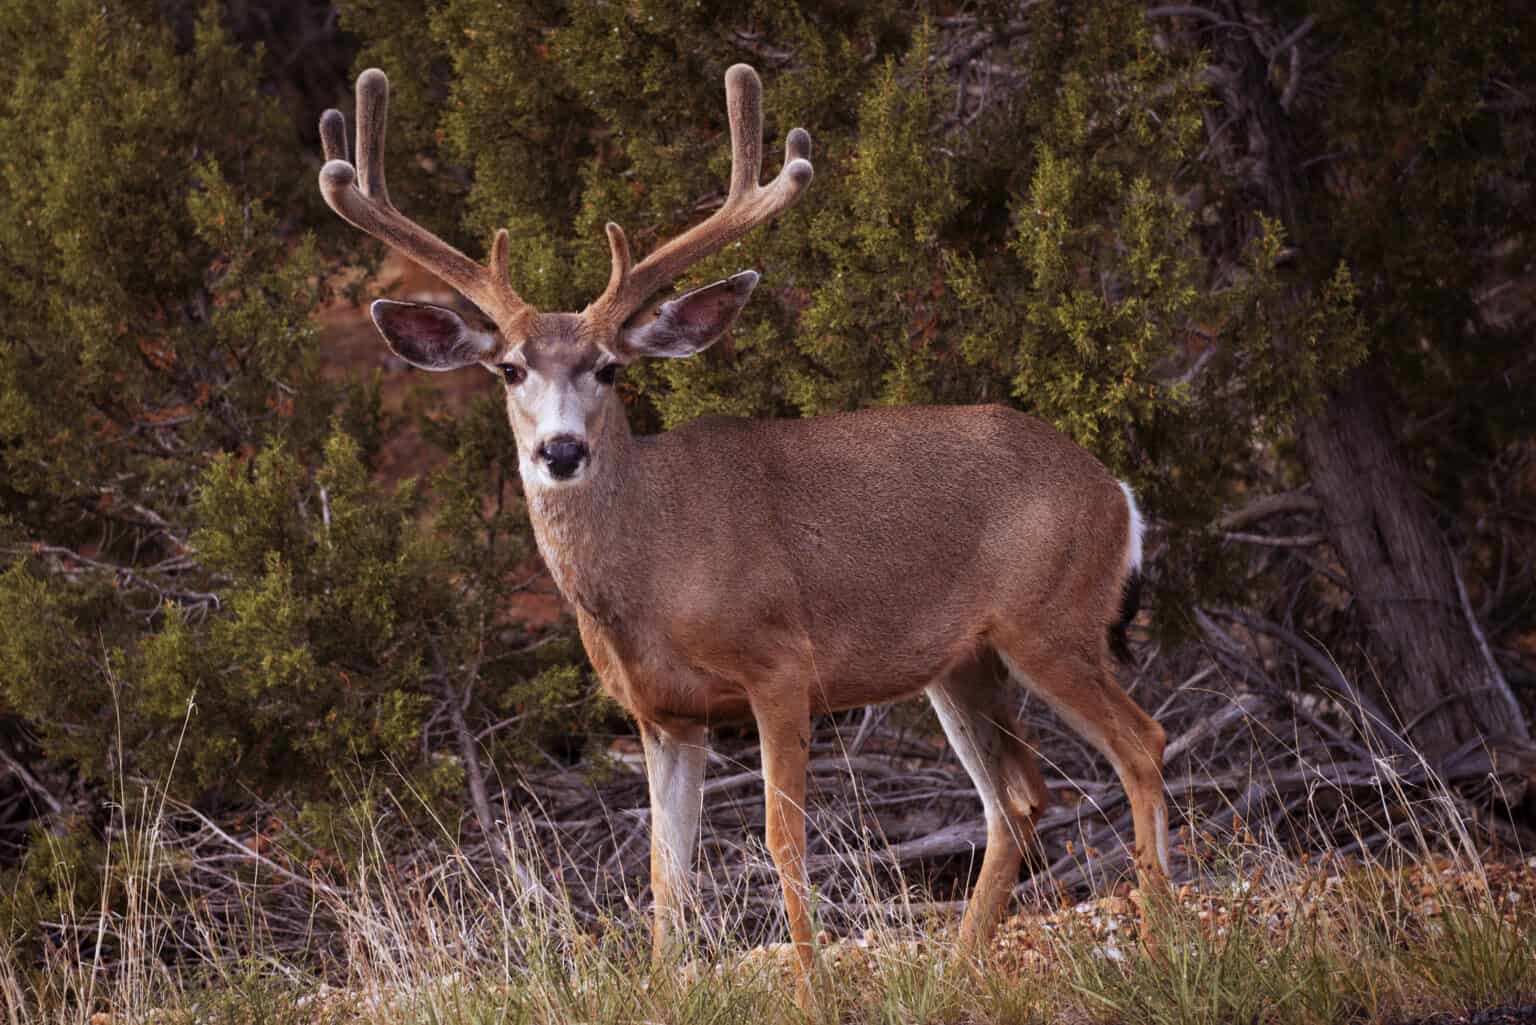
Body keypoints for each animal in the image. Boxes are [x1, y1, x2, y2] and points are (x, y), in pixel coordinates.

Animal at [317, 63, 1170, 1008]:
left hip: (1050, 619)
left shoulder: (780, 662)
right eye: (508, 368)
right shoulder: (663, 713)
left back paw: (1162, 943)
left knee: (1141, 744)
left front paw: (811, 994)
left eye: (609, 368)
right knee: (1017, 796)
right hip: (962, 661)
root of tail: (1118, 493)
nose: (562, 449)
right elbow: (666, 869)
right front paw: (663, 991)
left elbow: (779, 837)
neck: (656, 567)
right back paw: (955, 974)